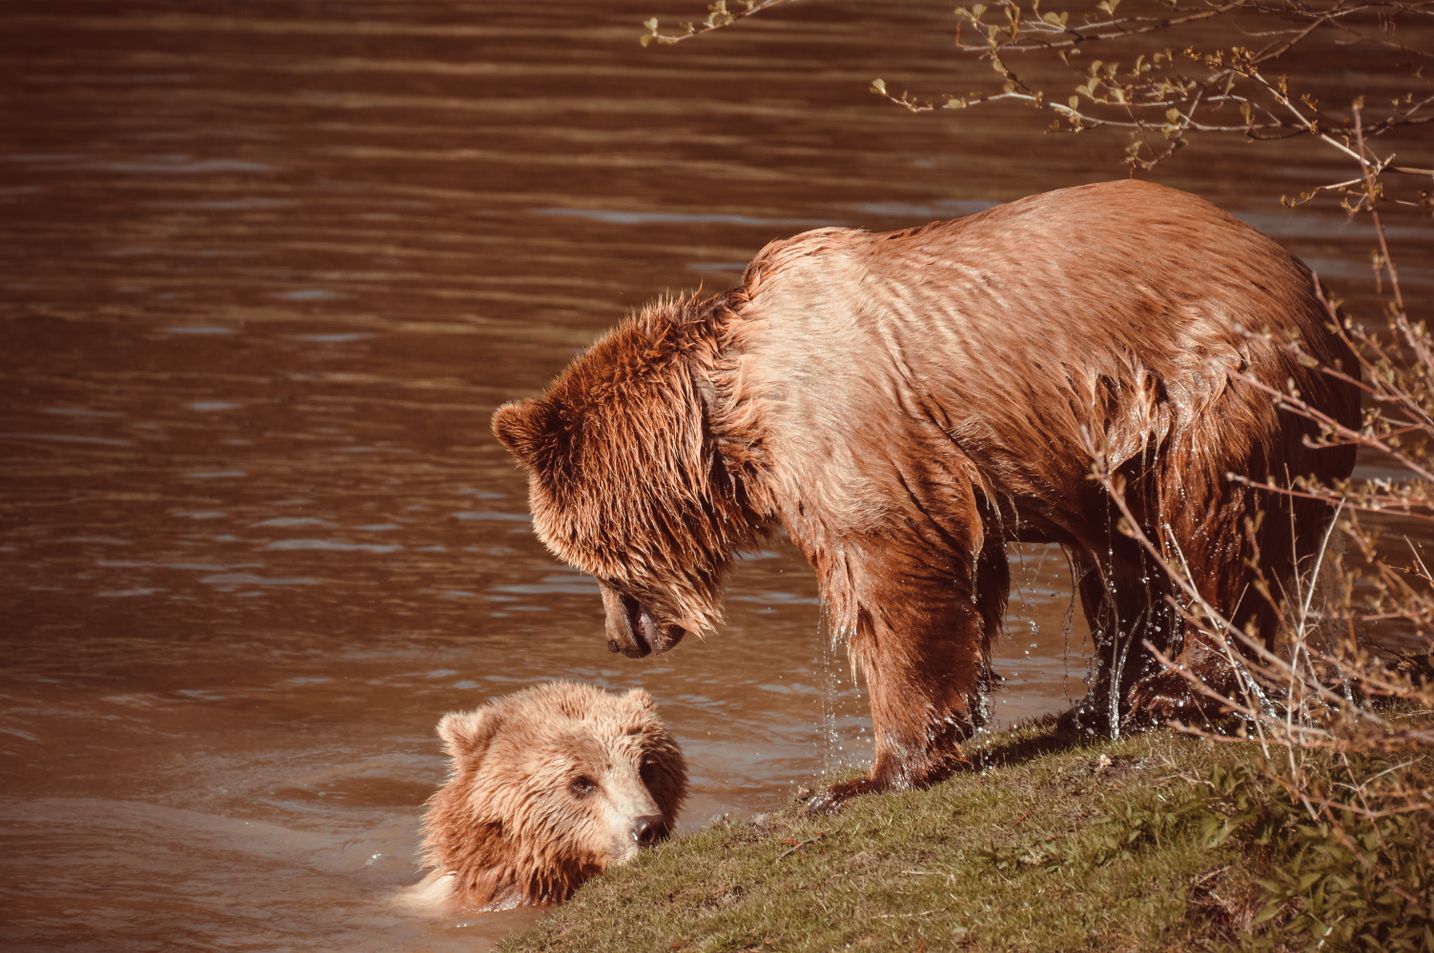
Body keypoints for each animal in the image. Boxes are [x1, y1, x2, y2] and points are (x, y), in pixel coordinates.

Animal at [490, 180, 1360, 810]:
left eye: (577, 553)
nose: (618, 638)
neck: (728, 416)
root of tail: (1326, 301)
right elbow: (972, 576)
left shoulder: (856, 431)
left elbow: (893, 577)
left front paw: (864, 774)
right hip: (1123, 447)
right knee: (1125, 567)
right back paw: (1096, 703)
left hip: (1215, 387)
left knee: (1210, 536)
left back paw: (1175, 692)